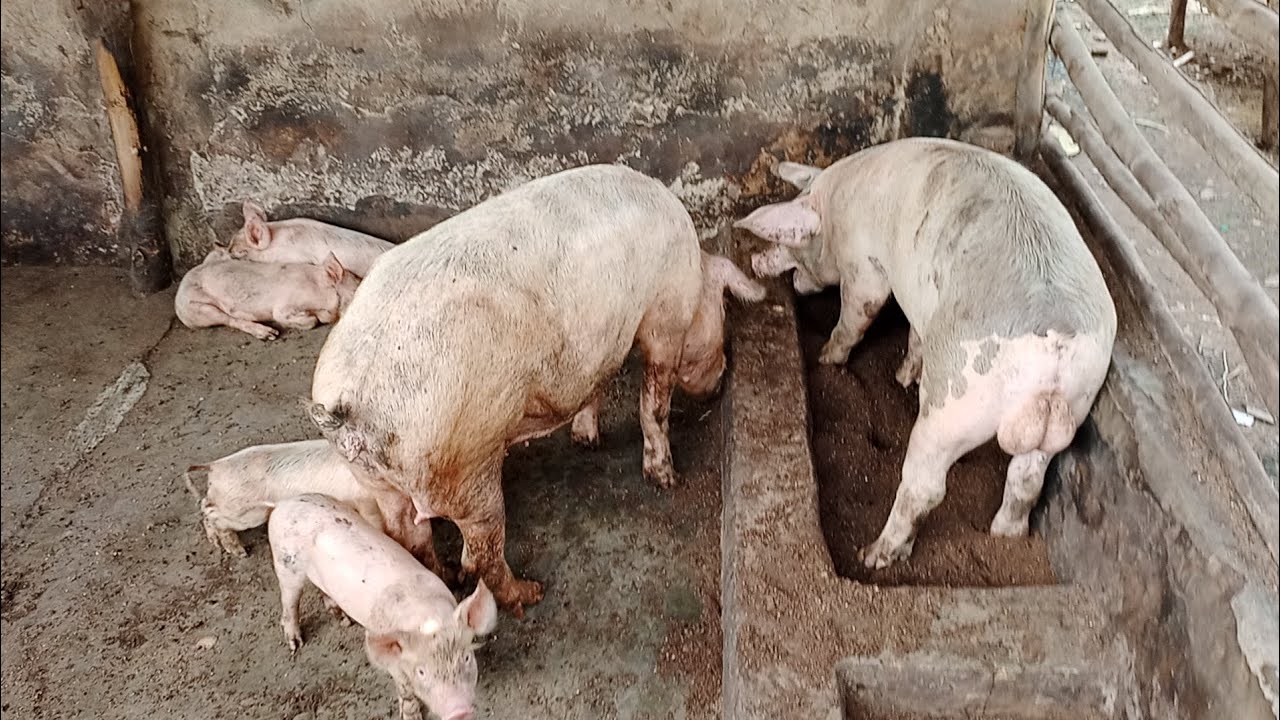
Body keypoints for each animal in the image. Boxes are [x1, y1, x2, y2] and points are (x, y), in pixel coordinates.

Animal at [173, 252, 359, 340]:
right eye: (355, 291)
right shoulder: (284, 306)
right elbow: (307, 320)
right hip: (196, 308)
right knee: (228, 319)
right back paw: (270, 335)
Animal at [182, 439, 436, 571]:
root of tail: (216, 465)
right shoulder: (365, 503)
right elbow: (377, 525)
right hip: (245, 510)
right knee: (208, 509)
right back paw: (239, 551)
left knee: (205, 505)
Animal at [268, 494, 496, 720]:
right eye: (421, 671)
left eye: (466, 657)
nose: (459, 712)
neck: (427, 616)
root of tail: (283, 504)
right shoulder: (395, 663)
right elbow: (405, 689)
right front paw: (411, 716)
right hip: (285, 564)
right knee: (289, 601)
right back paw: (296, 644)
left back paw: (343, 619)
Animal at [307, 164, 765, 616]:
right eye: (724, 310)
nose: (721, 381)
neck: (694, 275)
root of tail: (351, 407)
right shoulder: (663, 320)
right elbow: (654, 405)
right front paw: (667, 479)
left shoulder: (596, 342)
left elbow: (595, 384)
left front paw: (586, 441)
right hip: (467, 468)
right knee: (482, 554)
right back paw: (529, 593)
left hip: (381, 484)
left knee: (412, 540)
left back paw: (449, 578)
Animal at [734, 138, 1116, 570]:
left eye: (790, 241)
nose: (756, 260)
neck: (836, 205)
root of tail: (1055, 348)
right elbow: (915, 334)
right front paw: (902, 376)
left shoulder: (865, 267)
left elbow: (857, 316)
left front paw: (826, 359)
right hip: (1078, 399)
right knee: (1026, 482)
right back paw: (1004, 539)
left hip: (952, 406)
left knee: (926, 487)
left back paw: (873, 555)